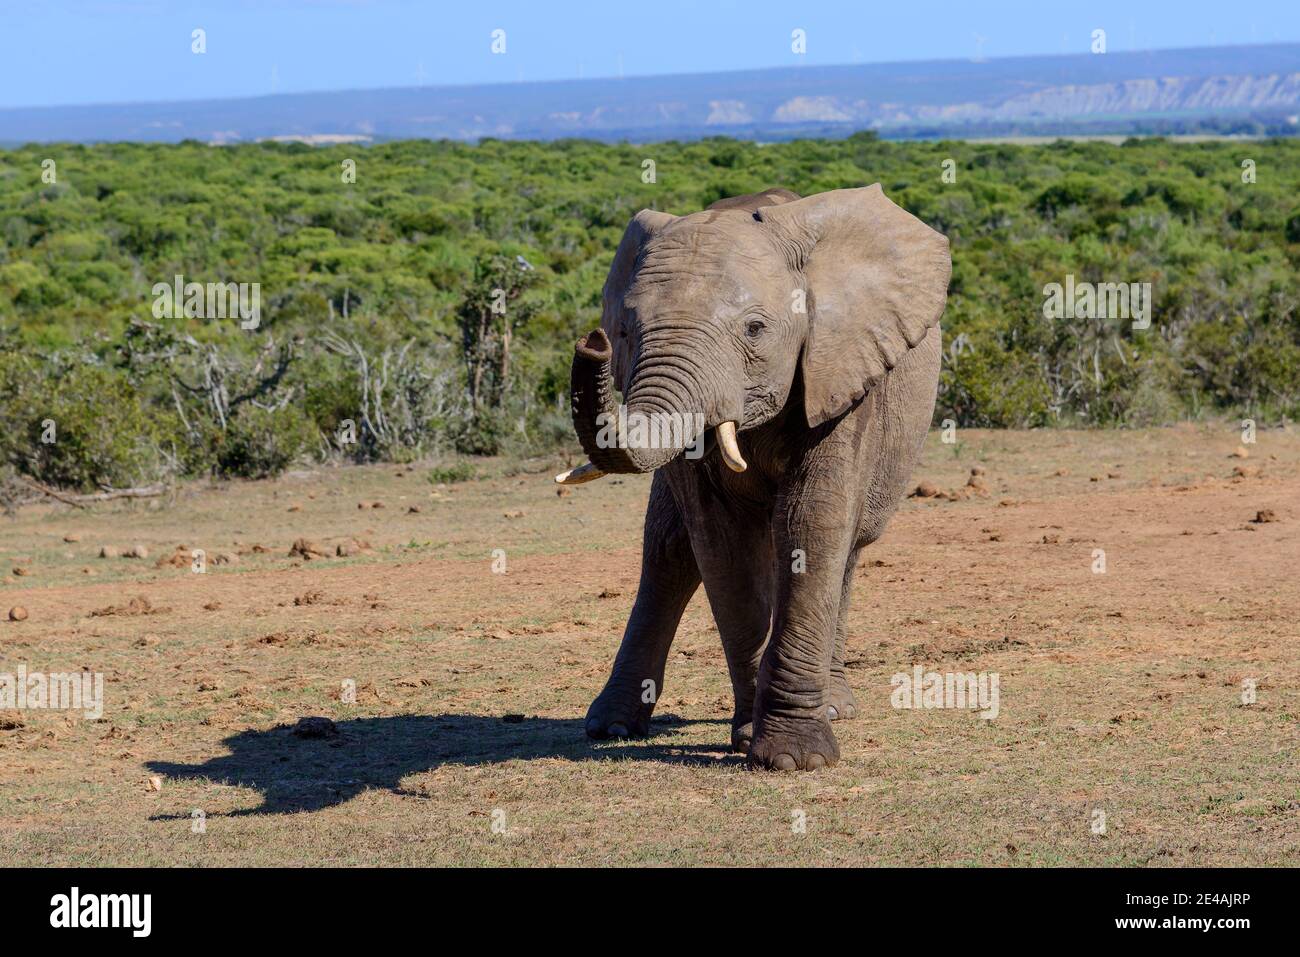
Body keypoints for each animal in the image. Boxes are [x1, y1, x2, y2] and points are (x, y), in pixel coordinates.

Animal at [557, 185, 951, 771]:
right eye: (626, 331)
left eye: (755, 329)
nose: (593, 342)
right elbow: (719, 542)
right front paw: (748, 737)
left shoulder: (839, 372)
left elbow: (812, 525)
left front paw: (794, 758)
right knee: (668, 552)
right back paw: (611, 727)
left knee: (848, 547)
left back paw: (834, 707)